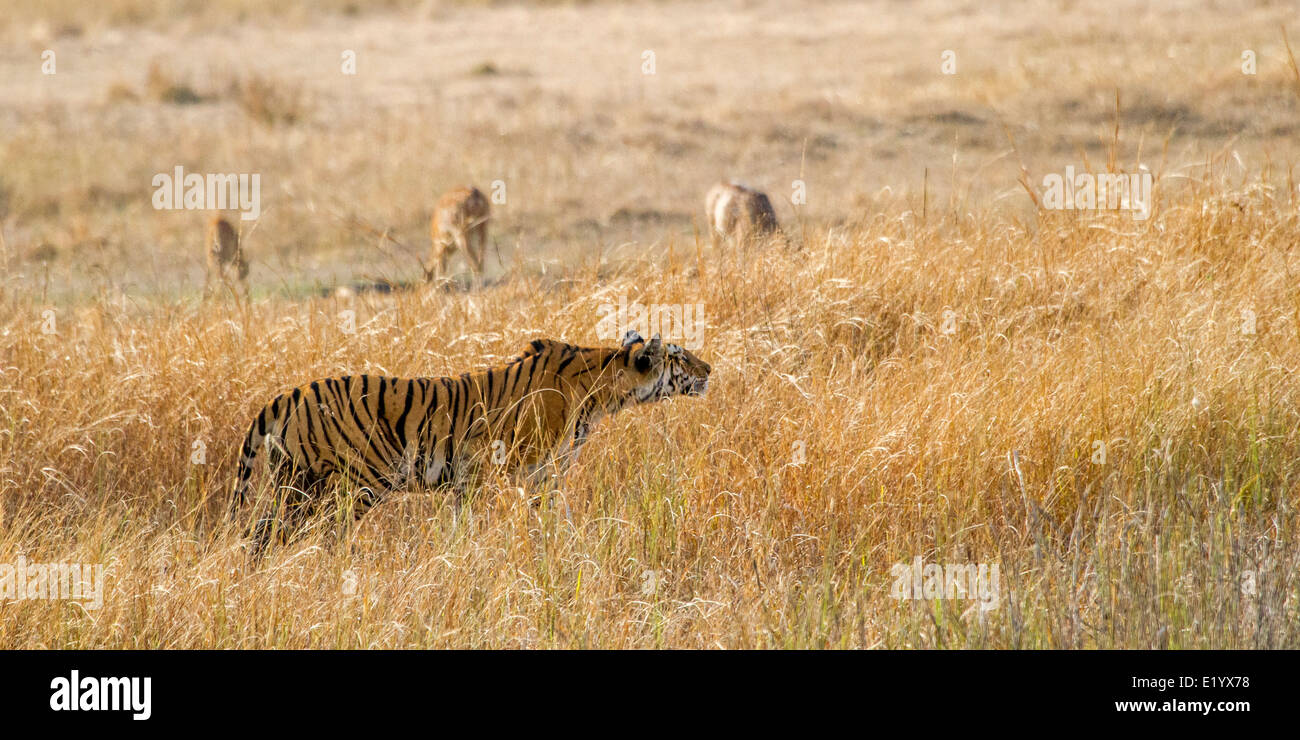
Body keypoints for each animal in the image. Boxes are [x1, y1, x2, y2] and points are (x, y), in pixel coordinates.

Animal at [231, 330, 711, 555]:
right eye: (679, 357)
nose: (709, 368)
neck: (602, 391)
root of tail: (287, 394)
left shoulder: (542, 475)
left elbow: (555, 519)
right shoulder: (492, 463)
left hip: (295, 484)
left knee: (261, 533)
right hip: (340, 486)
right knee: (303, 534)